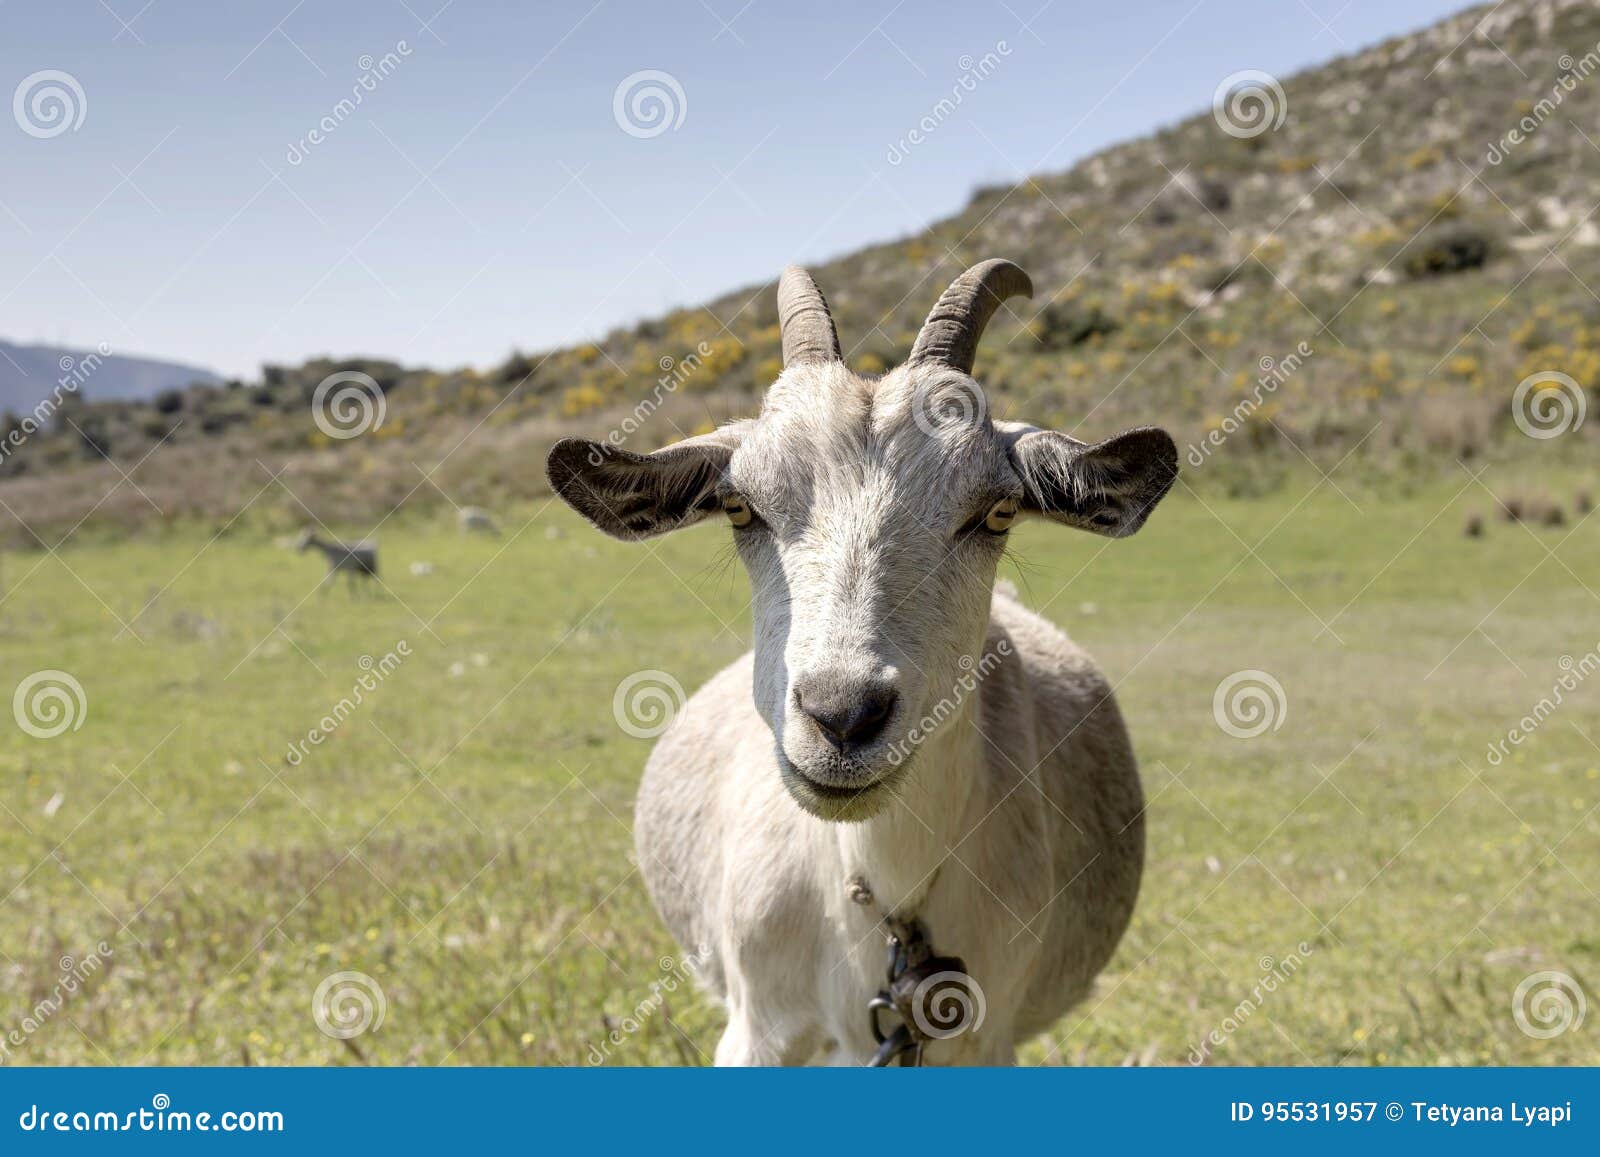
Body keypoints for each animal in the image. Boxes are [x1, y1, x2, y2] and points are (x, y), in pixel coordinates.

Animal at [547, 260, 1178, 1065]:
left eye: (997, 512)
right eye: (741, 507)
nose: (842, 716)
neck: (886, 889)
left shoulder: (982, 1042)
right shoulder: (758, 1031)